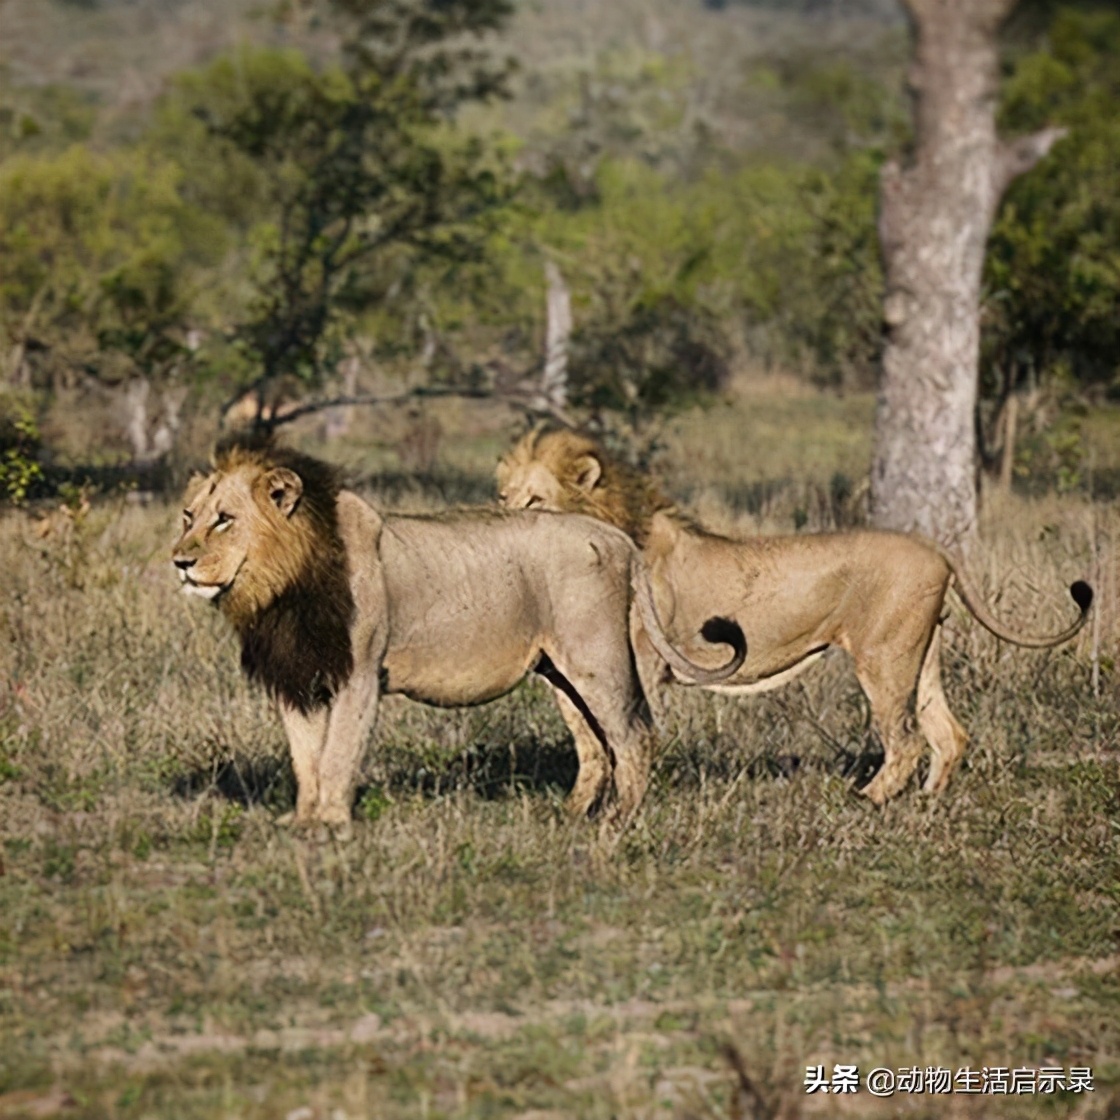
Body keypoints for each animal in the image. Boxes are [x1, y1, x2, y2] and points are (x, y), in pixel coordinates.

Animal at [171, 437, 745, 830]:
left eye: (224, 520)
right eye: (187, 516)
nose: (180, 562)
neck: (282, 591)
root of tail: (617, 537)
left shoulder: (359, 674)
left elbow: (337, 753)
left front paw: (331, 825)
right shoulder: (300, 677)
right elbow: (305, 755)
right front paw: (303, 820)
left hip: (595, 658)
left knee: (633, 734)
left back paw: (616, 820)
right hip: (560, 672)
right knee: (592, 743)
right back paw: (568, 815)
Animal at [496, 426, 1093, 804]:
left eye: (535, 500)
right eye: (505, 496)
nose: (499, 517)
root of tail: (937, 549)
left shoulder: (640, 662)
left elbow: (615, 731)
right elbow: (585, 733)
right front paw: (579, 808)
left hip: (882, 658)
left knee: (906, 740)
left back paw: (867, 800)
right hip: (917, 657)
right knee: (949, 734)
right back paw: (923, 805)